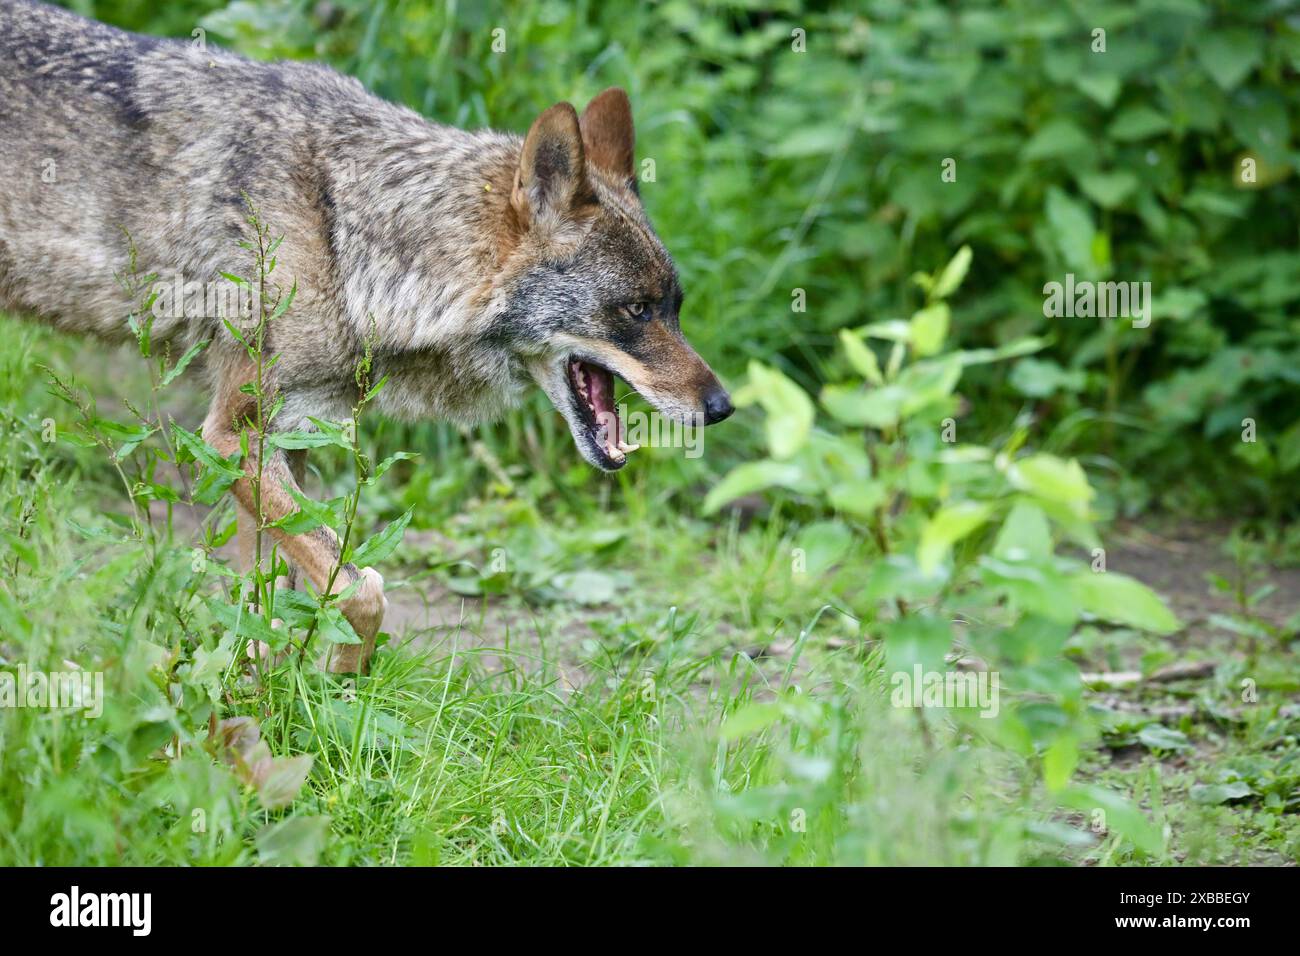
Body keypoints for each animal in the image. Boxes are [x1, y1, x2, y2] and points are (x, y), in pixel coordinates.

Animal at [0, 0, 733, 672]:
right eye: (636, 310)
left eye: (676, 307)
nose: (722, 407)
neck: (345, 238)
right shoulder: (233, 435)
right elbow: (359, 592)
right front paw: (337, 682)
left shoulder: (285, 436)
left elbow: (267, 594)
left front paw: (265, 687)